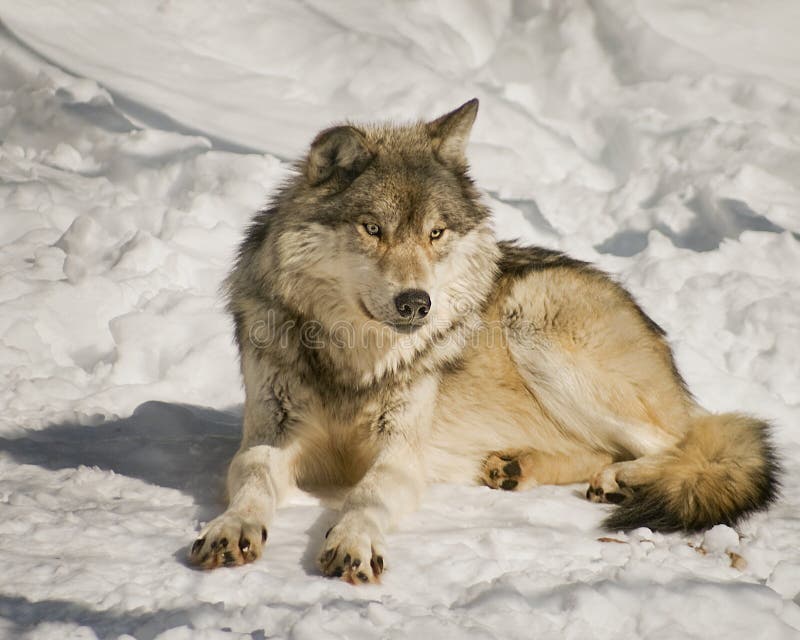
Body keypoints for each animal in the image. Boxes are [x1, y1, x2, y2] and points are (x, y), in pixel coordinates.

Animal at [189, 99, 779, 583]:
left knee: (683, 443)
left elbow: (368, 494)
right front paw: (231, 528)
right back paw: (520, 468)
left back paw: (621, 478)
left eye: (435, 233)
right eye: (372, 229)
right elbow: (252, 479)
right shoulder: (271, 433)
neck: (357, 362)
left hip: (534, 328)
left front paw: (355, 542)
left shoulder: (400, 453)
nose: (416, 302)